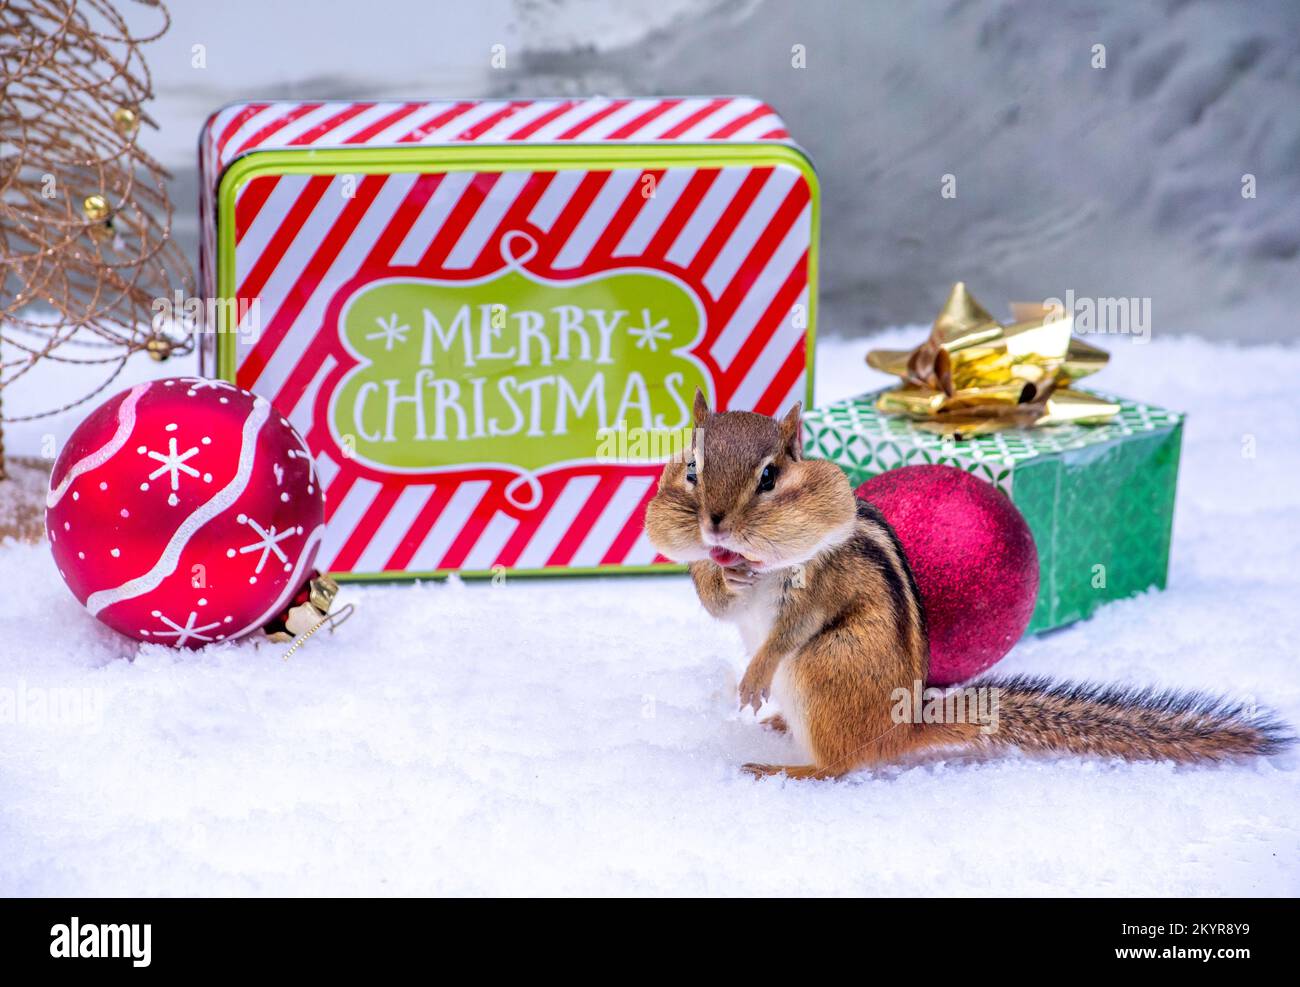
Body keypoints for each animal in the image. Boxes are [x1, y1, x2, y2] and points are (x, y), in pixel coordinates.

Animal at [644, 390, 1292, 780]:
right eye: (692, 468)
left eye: (770, 476)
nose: (715, 525)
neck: (763, 561)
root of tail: (899, 729)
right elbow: (716, 602)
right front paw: (724, 572)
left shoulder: (821, 581)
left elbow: (790, 629)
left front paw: (754, 678)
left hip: (823, 670)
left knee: (840, 767)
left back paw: (785, 768)